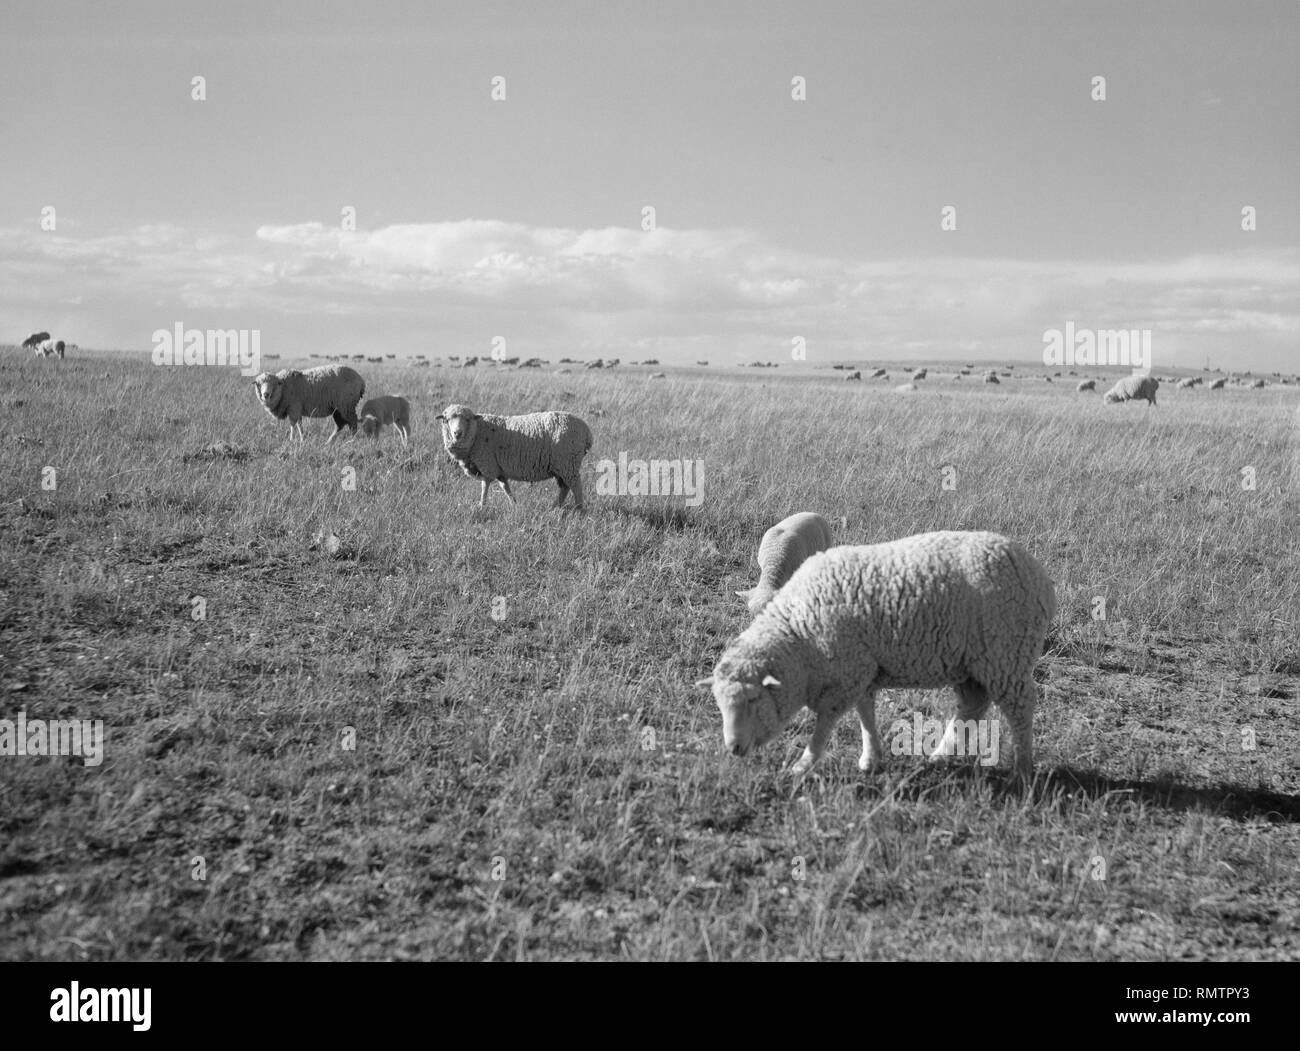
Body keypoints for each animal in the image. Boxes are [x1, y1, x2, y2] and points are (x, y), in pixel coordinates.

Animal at [438, 403, 593, 509]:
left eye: (467, 419)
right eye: (446, 419)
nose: (457, 433)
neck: (477, 432)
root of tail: (587, 432)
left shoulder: (487, 465)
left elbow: (485, 487)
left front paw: (481, 506)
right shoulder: (498, 469)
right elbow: (505, 488)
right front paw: (514, 504)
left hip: (568, 463)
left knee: (576, 486)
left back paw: (579, 509)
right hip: (562, 466)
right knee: (565, 487)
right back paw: (556, 507)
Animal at [697, 531, 1055, 780]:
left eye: (752, 701)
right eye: (720, 705)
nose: (733, 749)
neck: (799, 639)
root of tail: (1038, 575)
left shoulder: (845, 679)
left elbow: (825, 726)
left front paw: (803, 764)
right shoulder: (860, 670)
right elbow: (866, 716)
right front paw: (871, 759)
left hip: (1007, 655)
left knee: (1021, 708)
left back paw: (1023, 768)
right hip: (972, 663)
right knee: (972, 707)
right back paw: (939, 756)